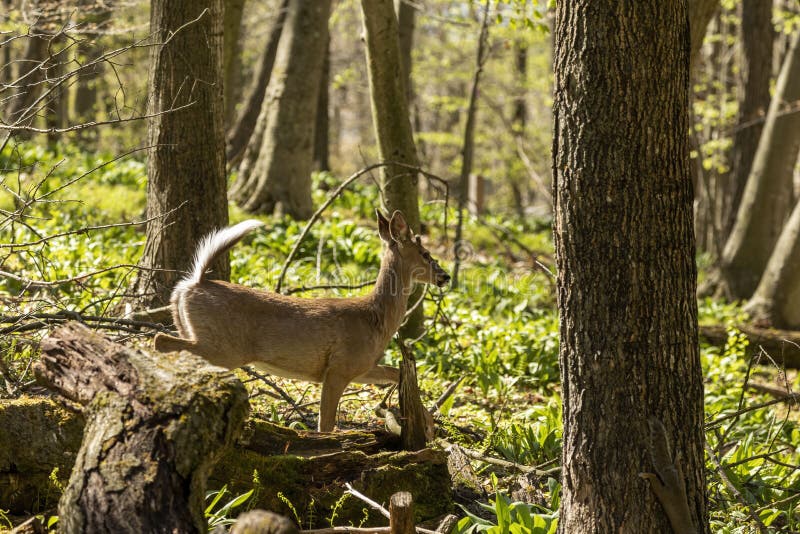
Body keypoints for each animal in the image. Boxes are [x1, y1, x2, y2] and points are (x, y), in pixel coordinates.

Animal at [153, 210, 450, 432]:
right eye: (425, 254)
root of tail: (193, 283)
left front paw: (427, 424)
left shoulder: (360, 366)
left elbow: (393, 372)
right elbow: (325, 424)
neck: (374, 319)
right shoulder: (339, 368)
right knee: (161, 340)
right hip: (223, 346)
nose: (445, 276)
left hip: (193, 329)